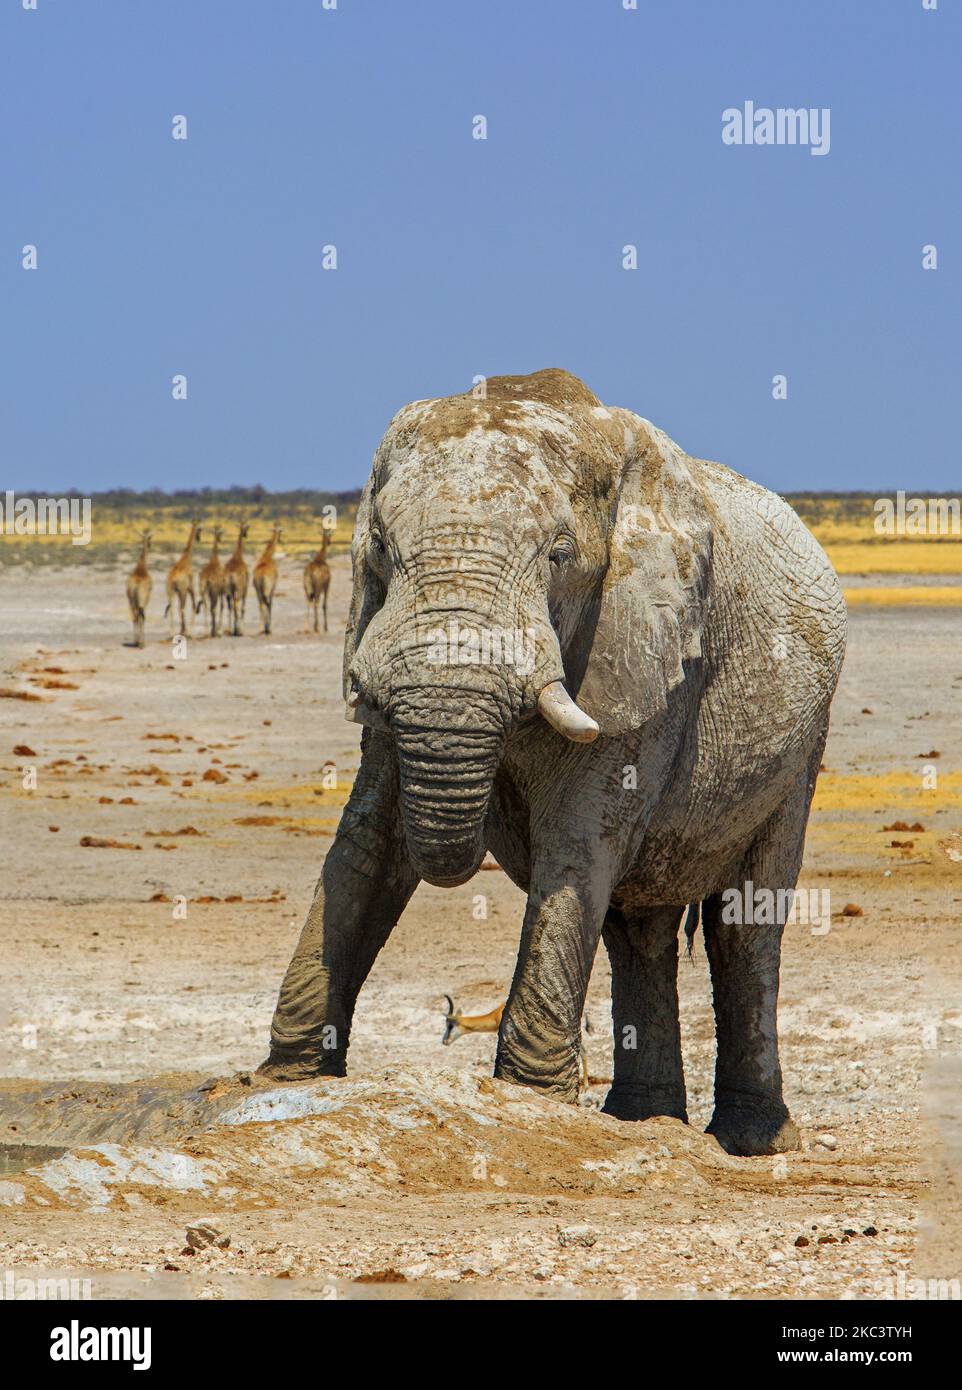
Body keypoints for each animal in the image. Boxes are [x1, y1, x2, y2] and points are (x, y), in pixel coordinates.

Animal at [260, 369, 847, 1156]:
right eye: (380, 546)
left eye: (560, 556)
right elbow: (369, 842)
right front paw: (283, 1080)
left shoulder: (641, 657)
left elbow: (577, 844)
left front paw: (529, 1103)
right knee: (637, 927)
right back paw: (641, 1119)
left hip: (803, 746)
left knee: (744, 925)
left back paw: (751, 1141)